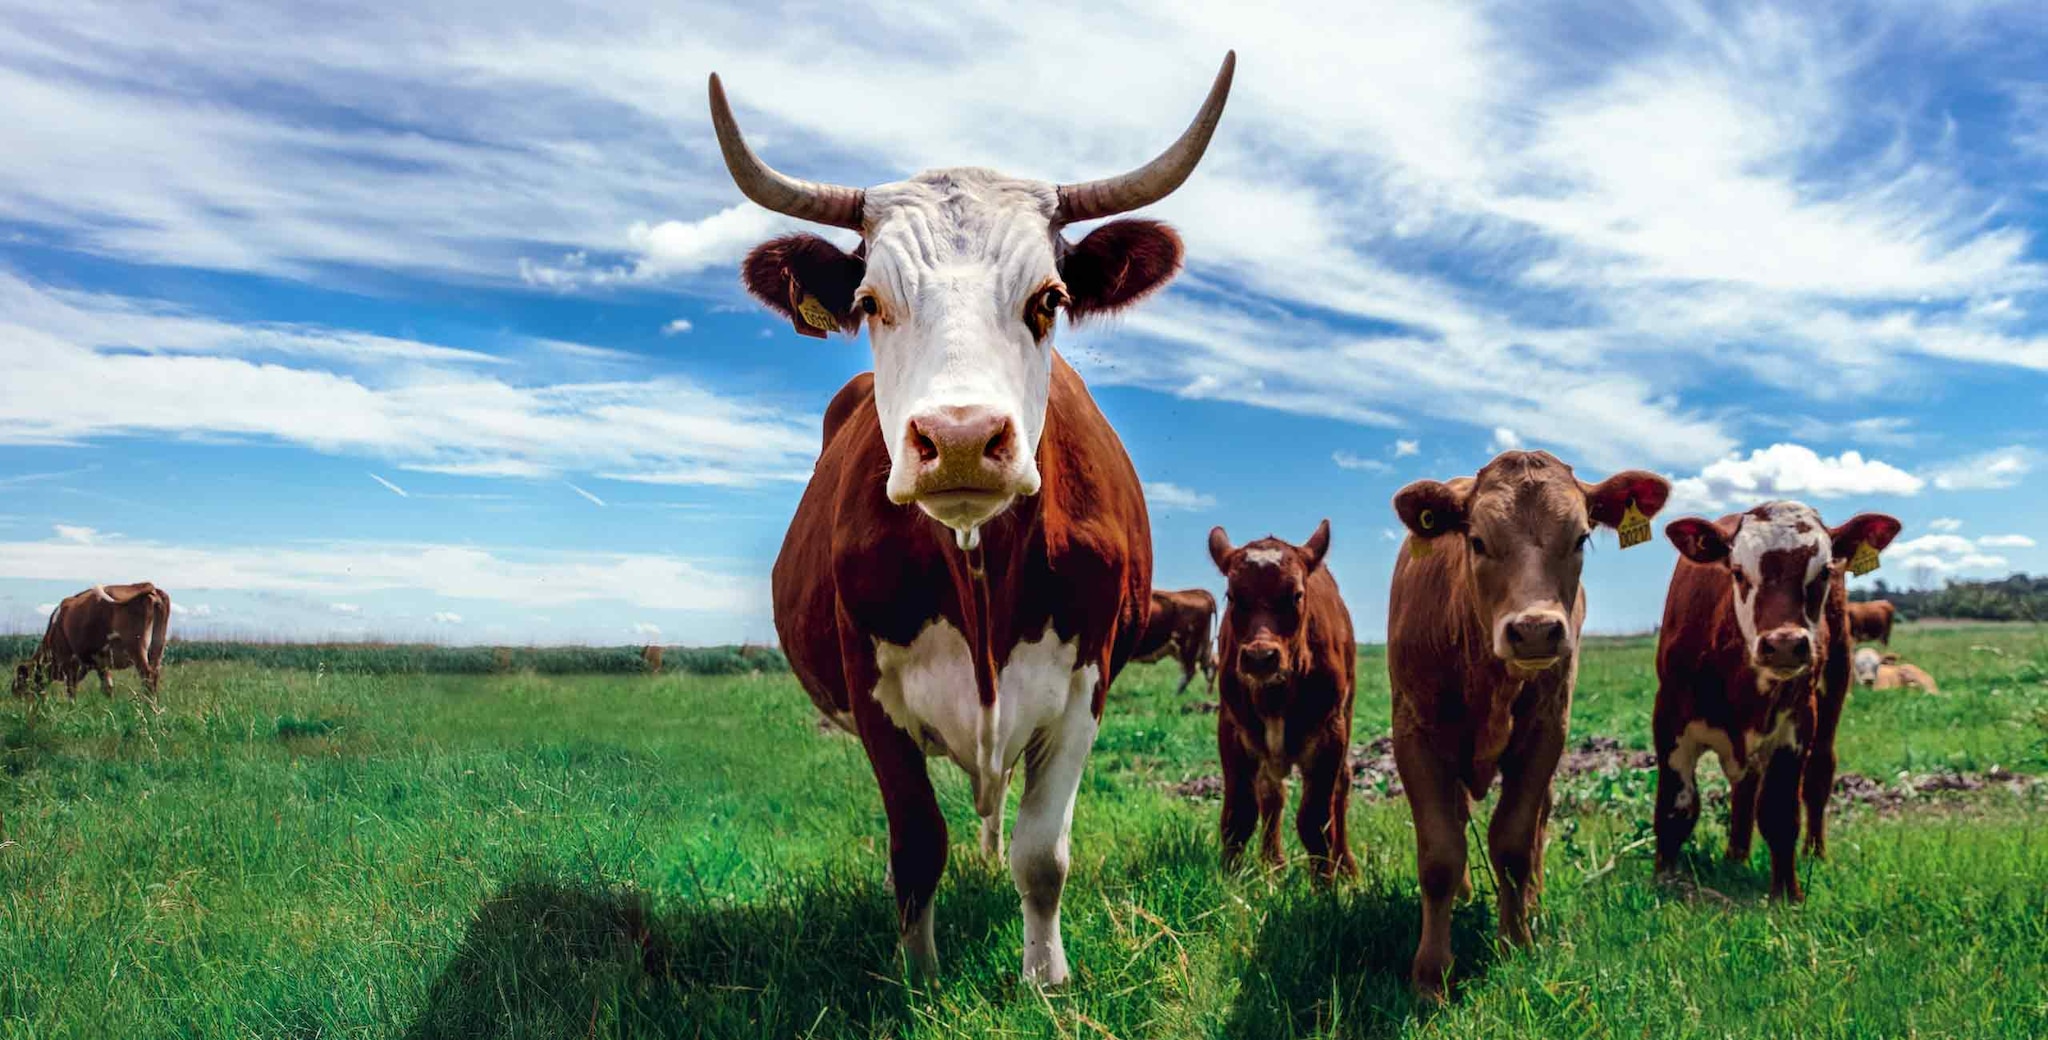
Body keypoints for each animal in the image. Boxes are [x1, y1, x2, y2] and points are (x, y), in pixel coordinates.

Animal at [14, 583, 171, 700]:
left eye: (20, 682)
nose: (16, 700)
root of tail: (149, 586)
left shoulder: (69, 661)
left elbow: (71, 691)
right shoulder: (101, 664)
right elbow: (108, 688)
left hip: (136, 648)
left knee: (147, 676)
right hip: (158, 646)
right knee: (155, 674)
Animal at [715, 53, 1235, 984]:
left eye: (1050, 298)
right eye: (872, 303)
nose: (959, 439)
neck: (980, 569)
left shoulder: (1087, 683)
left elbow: (1043, 852)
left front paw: (1045, 976)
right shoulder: (870, 688)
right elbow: (918, 843)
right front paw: (918, 974)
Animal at [1208, 521, 1357, 879]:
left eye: (1296, 595)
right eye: (1233, 596)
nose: (1260, 657)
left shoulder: (1330, 734)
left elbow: (1316, 823)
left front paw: (1325, 885)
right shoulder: (1232, 730)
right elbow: (1239, 816)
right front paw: (1230, 881)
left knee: (1341, 787)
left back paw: (1346, 866)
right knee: (1271, 793)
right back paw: (1272, 862)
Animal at [1388, 451, 1670, 999]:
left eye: (1580, 538)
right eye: (1477, 540)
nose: (1536, 630)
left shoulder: (1546, 731)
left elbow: (1515, 843)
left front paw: (1515, 942)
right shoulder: (1413, 733)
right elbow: (1440, 853)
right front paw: (1431, 973)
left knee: (1539, 821)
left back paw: (1532, 903)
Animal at [1656, 501, 1901, 901]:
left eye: (1823, 572)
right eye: (1738, 572)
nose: (1784, 644)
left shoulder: (1795, 725)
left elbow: (1779, 812)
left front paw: (1787, 893)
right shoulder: (1670, 718)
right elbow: (1677, 808)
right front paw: (1664, 881)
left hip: (1835, 684)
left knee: (1818, 774)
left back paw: (1814, 853)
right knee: (1744, 787)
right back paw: (1735, 856)